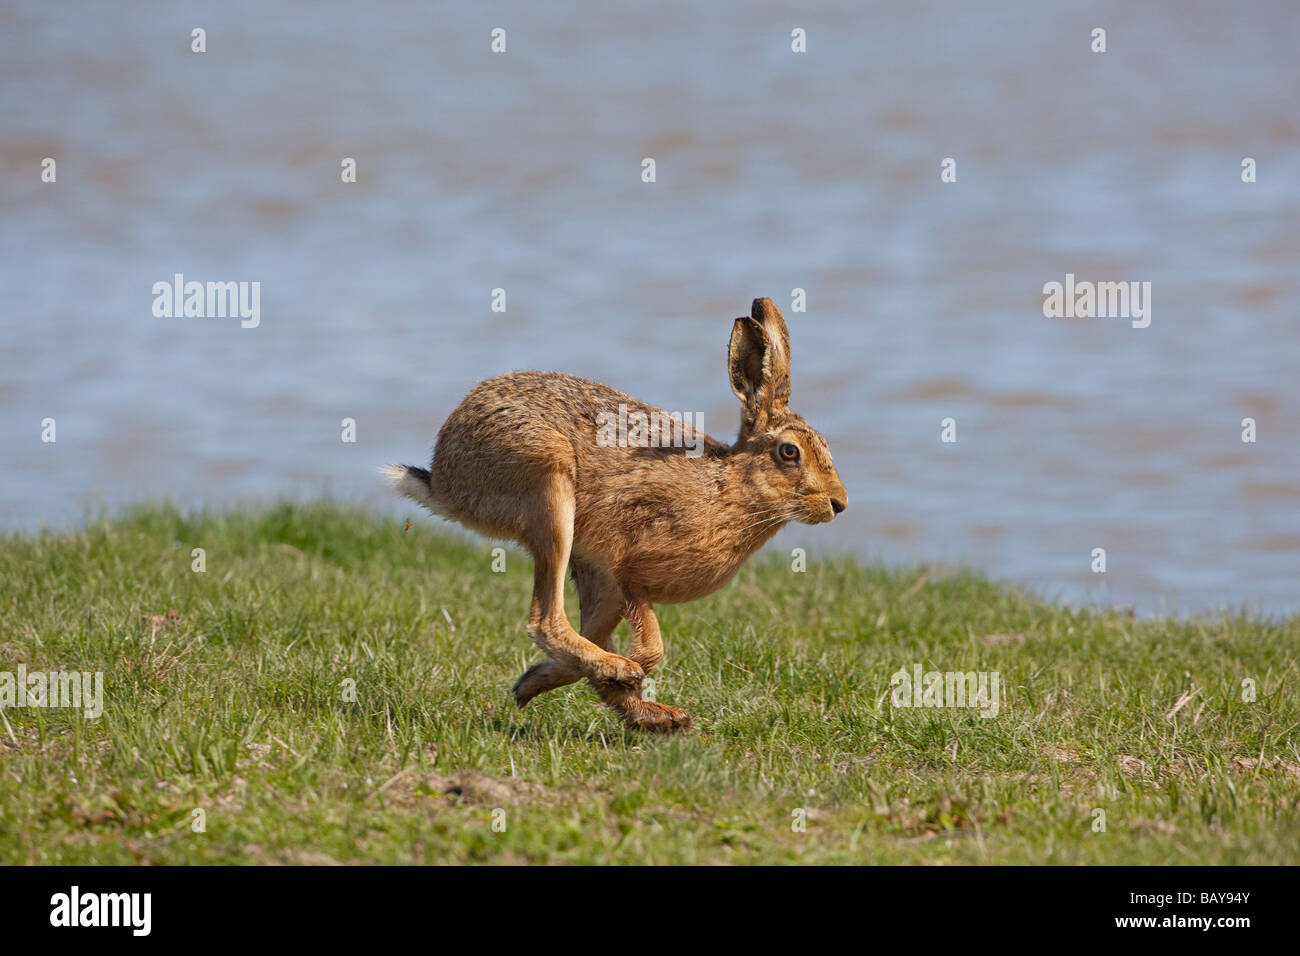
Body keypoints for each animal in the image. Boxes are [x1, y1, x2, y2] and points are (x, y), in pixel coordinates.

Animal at [384, 297, 847, 731]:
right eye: (789, 452)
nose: (838, 504)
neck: (733, 487)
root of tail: (444, 475)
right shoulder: (627, 569)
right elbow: (652, 647)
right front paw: (627, 668)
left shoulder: (611, 579)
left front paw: (541, 680)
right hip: (550, 484)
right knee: (545, 620)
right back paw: (620, 674)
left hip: (584, 563)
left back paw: (636, 707)